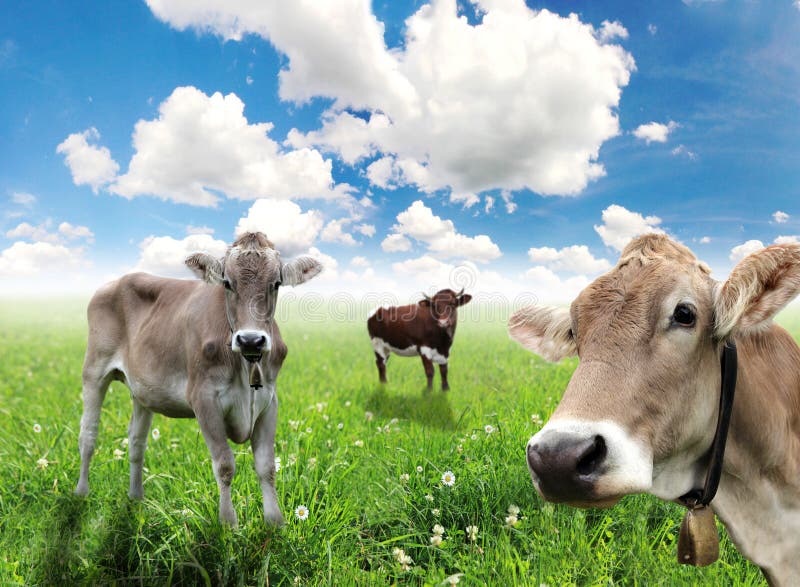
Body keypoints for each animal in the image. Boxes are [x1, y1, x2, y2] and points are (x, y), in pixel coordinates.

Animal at [74, 232, 322, 527]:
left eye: (276, 284)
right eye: (227, 283)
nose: (251, 340)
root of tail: (117, 281)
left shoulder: (268, 401)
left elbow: (267, 466)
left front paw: (275, 522)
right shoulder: (204, 399)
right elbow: (225, 464)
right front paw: (228, 523)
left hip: (142, 390)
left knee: (136, 441)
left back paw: (136, 497)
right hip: (94, 369)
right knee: (88, 435)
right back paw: (81, 492)